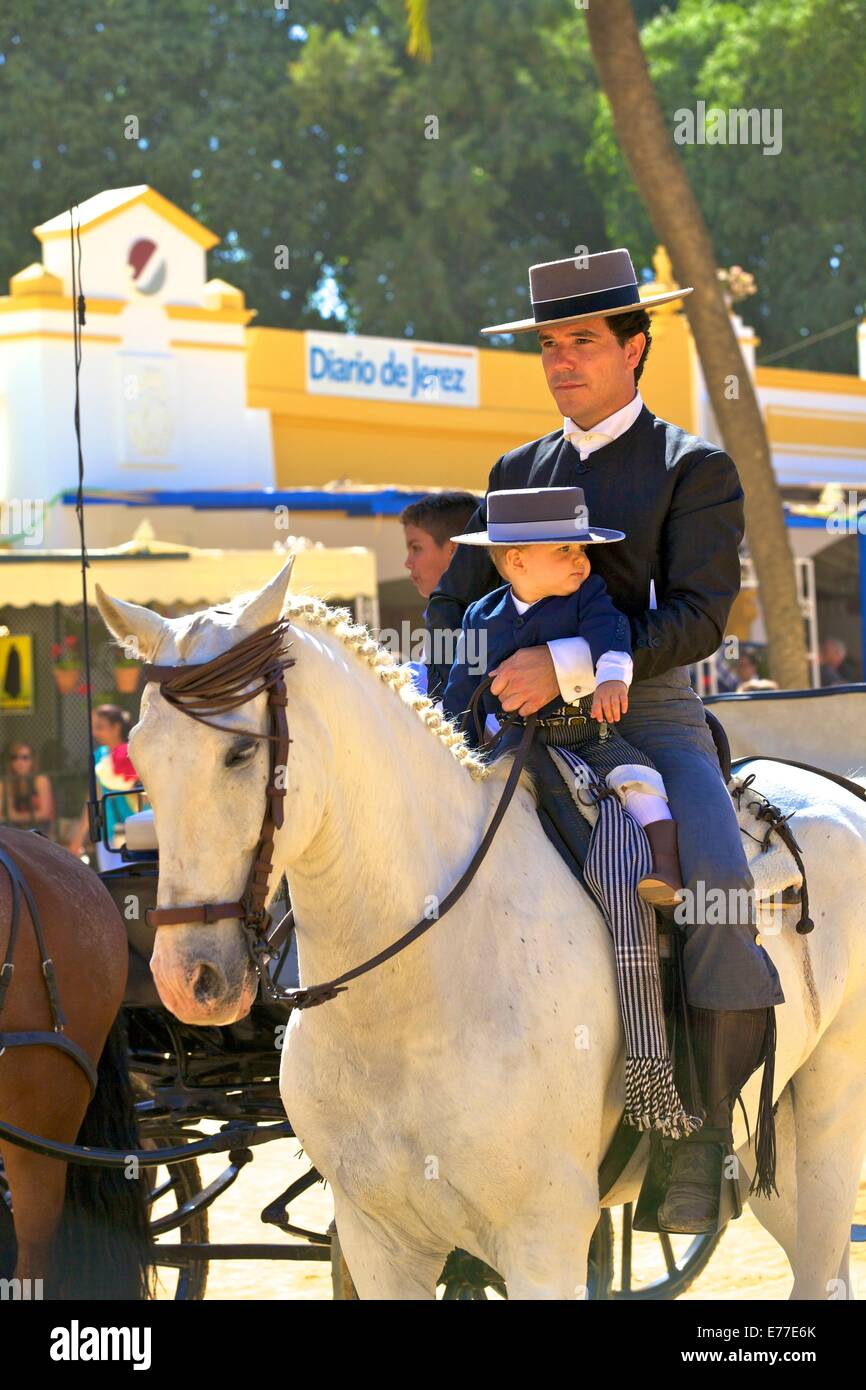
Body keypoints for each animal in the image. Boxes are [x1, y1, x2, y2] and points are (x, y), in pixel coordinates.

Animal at [96, 559, 866, 1300]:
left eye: (239, 754)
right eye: (141, 752)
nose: (188, 978)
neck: (415, 995)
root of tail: (834, 787)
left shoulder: (545, 1246)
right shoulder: (379, 1246)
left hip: (828, 1119)